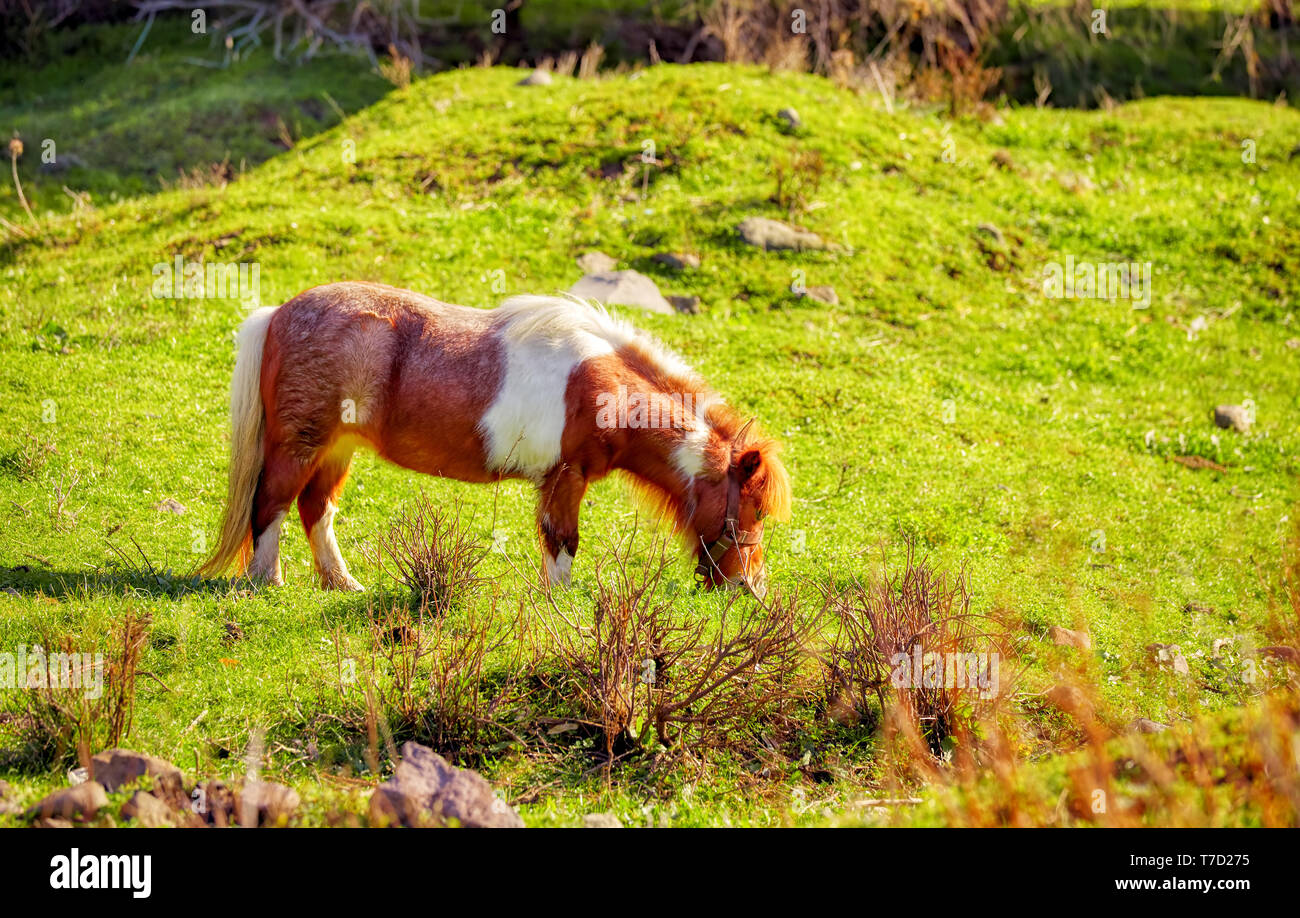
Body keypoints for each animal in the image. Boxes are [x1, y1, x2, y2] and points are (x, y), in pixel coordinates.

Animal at [197, 281, 791, 595]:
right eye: (755, 510)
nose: (751, 589)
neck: (602, 386)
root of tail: (278, 313)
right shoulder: (566, 477)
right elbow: (563, 540)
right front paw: (562, 603)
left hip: (336, 450)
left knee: (315, 510)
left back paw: (343, 585)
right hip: (300, 445)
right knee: (270, 505)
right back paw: (267, 582)